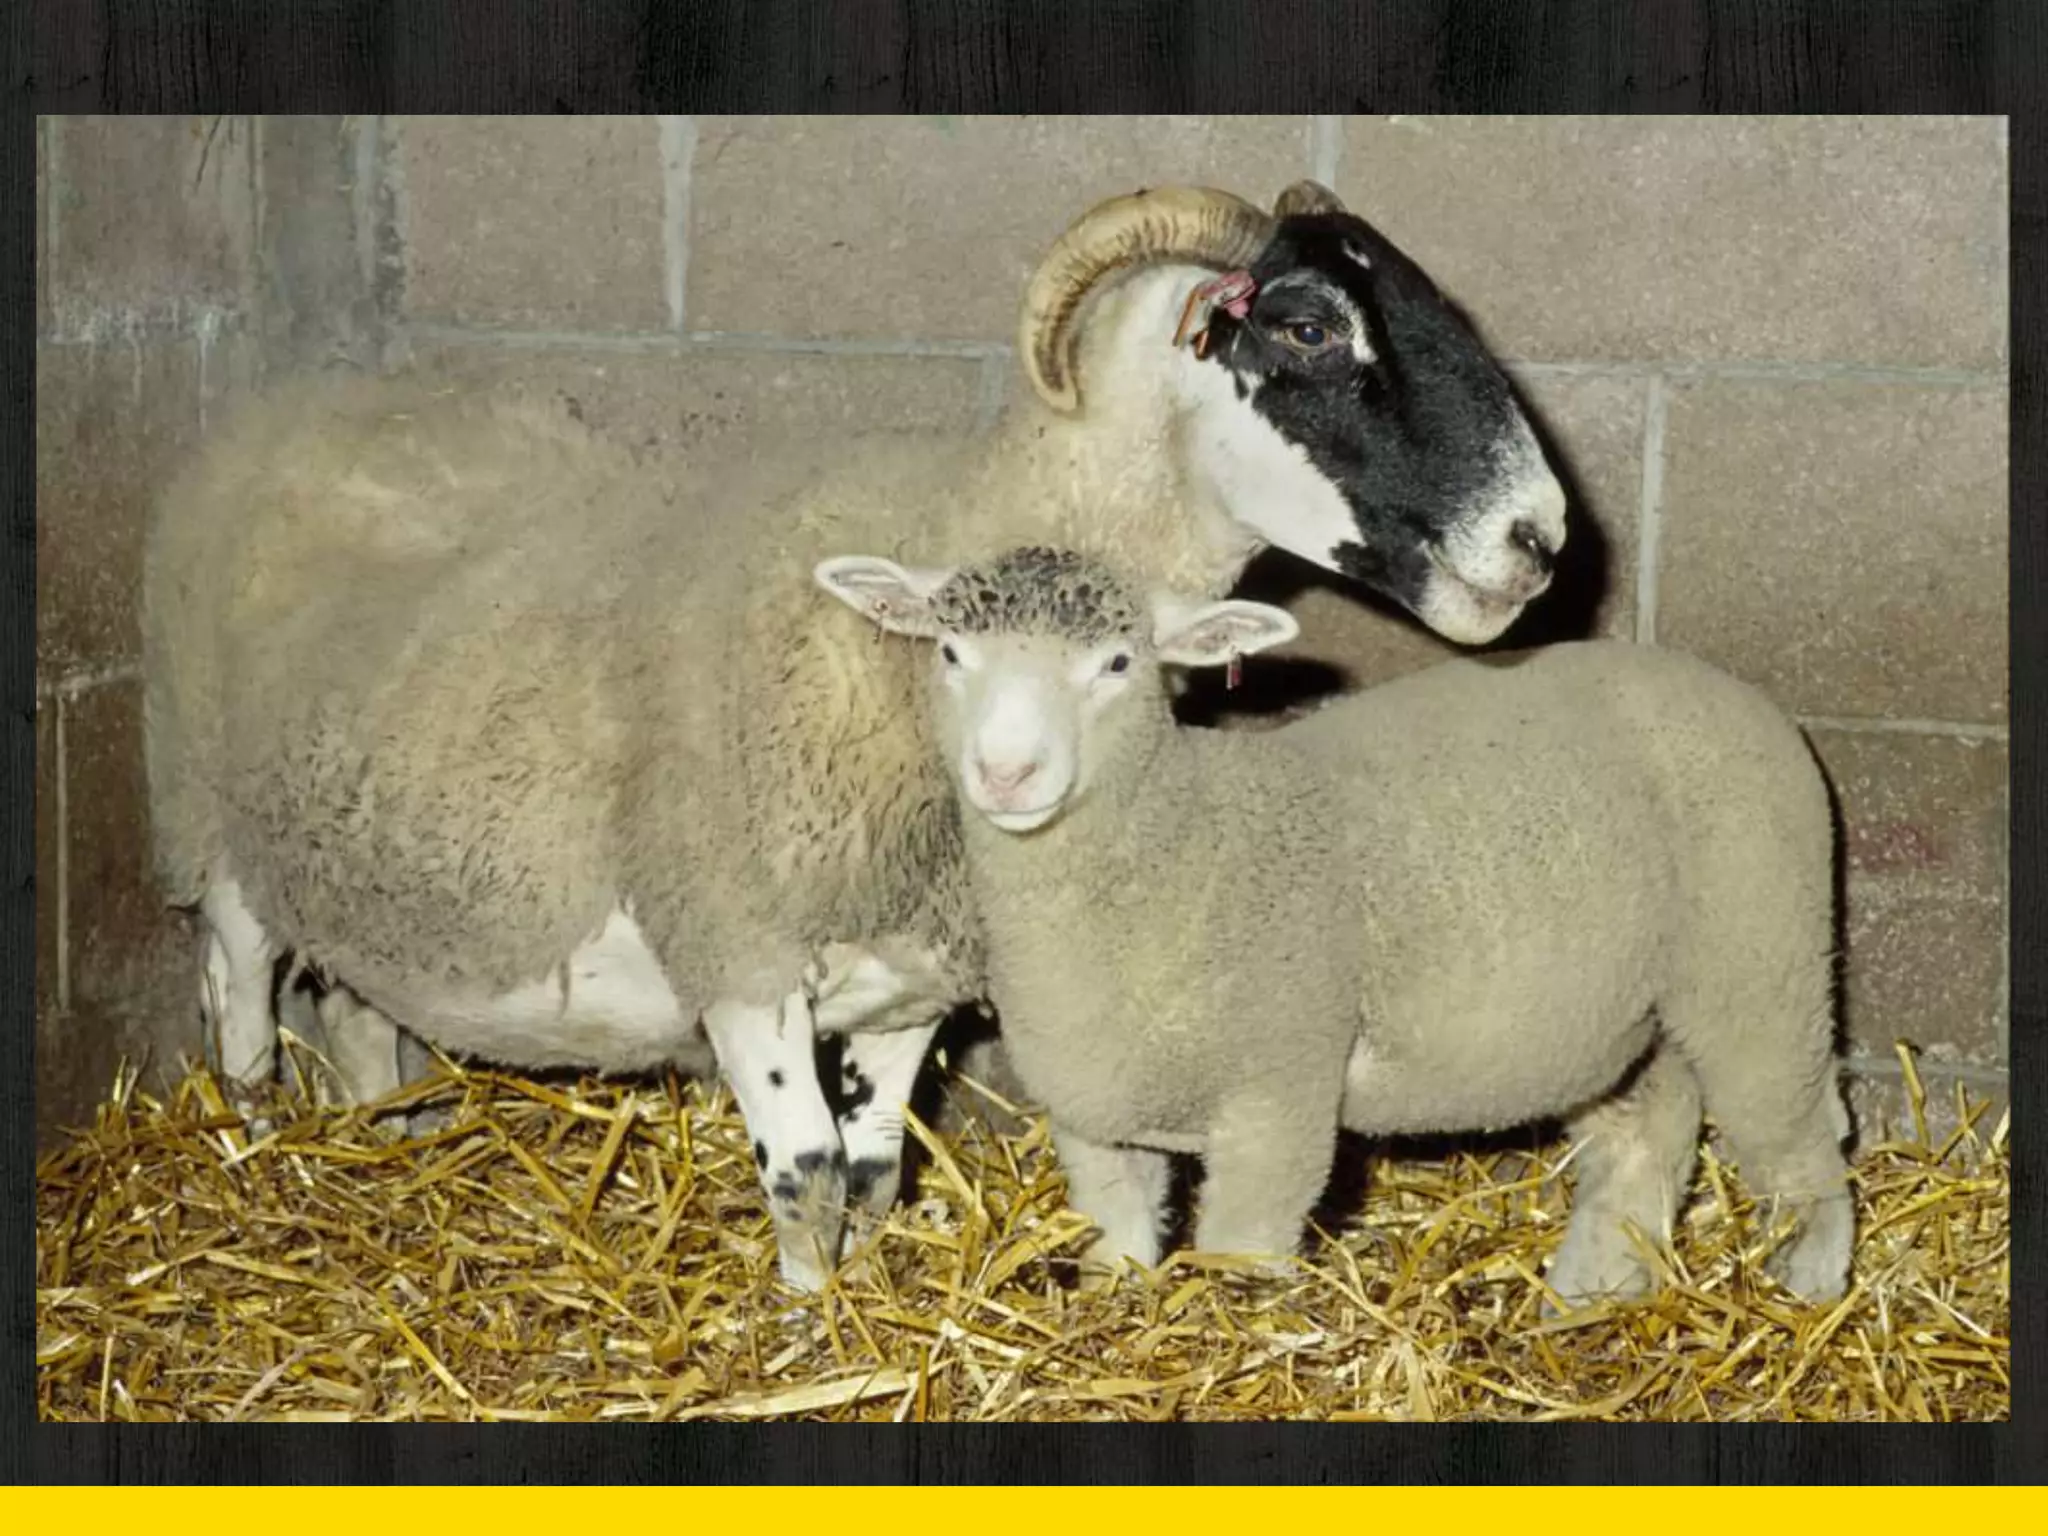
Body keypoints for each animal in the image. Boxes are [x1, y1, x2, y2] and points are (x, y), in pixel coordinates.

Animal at [143, 180, 1570, 1291]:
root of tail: (320, 402)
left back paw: (385, 1132)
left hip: (367, 867)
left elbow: (876, 1168)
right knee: (240, 1015)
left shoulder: (915, 975)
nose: (1541, 540)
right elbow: (805, 1169)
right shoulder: (739, 948)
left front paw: (871, 1303)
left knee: (355, 1013)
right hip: (218, 834)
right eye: (1306, 323)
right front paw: (806, 1322)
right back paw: (253, 1163)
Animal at [813, 544, 1856, 1310]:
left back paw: (1810, 1283)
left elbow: (1242, 1248)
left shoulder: (1279, 1094)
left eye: (1117, 664)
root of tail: (1722, 685)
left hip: (1762, 950)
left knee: (1804, 1122)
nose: (1007, 772)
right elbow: (1119, 1234)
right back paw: (1591, 1293)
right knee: (1651, 1128)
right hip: (1612, 1015)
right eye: (951, 654)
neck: (1181, 840)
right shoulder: (1094, 1113)